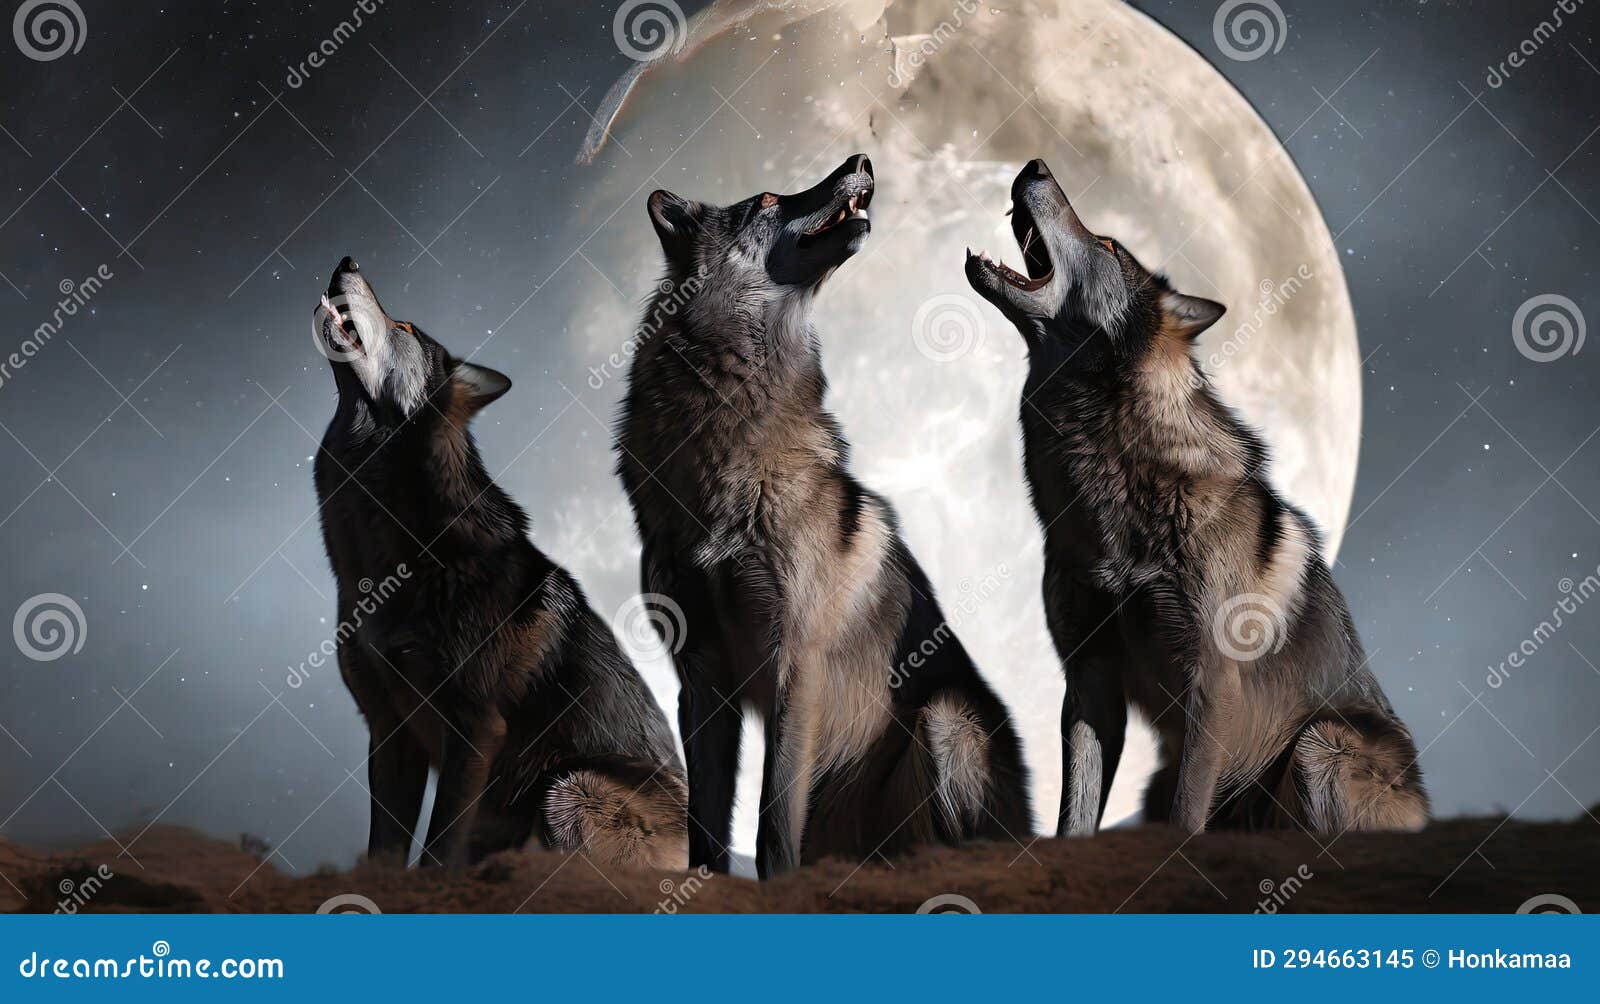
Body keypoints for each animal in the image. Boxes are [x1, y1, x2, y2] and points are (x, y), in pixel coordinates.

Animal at [312, 257, 687, 869]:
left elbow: (437, 850)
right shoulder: (389, 730)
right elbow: (386, 851)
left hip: (567, 787)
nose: (347, 262)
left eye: (406, 327)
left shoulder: (475, 729)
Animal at [617, 155, 1033, 879]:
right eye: (767, 200)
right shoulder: (701, 677)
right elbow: (706, 825)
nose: (860, 162)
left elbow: (771, 823)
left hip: (946, 720)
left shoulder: (797, 663)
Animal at [966, 159, 1428, 837]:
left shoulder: (1212, 684)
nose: (1035, 165)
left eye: (1109, 245)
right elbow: (1073, 819)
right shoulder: (1089, 681)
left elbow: (1187, 817)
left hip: (1318, 745)